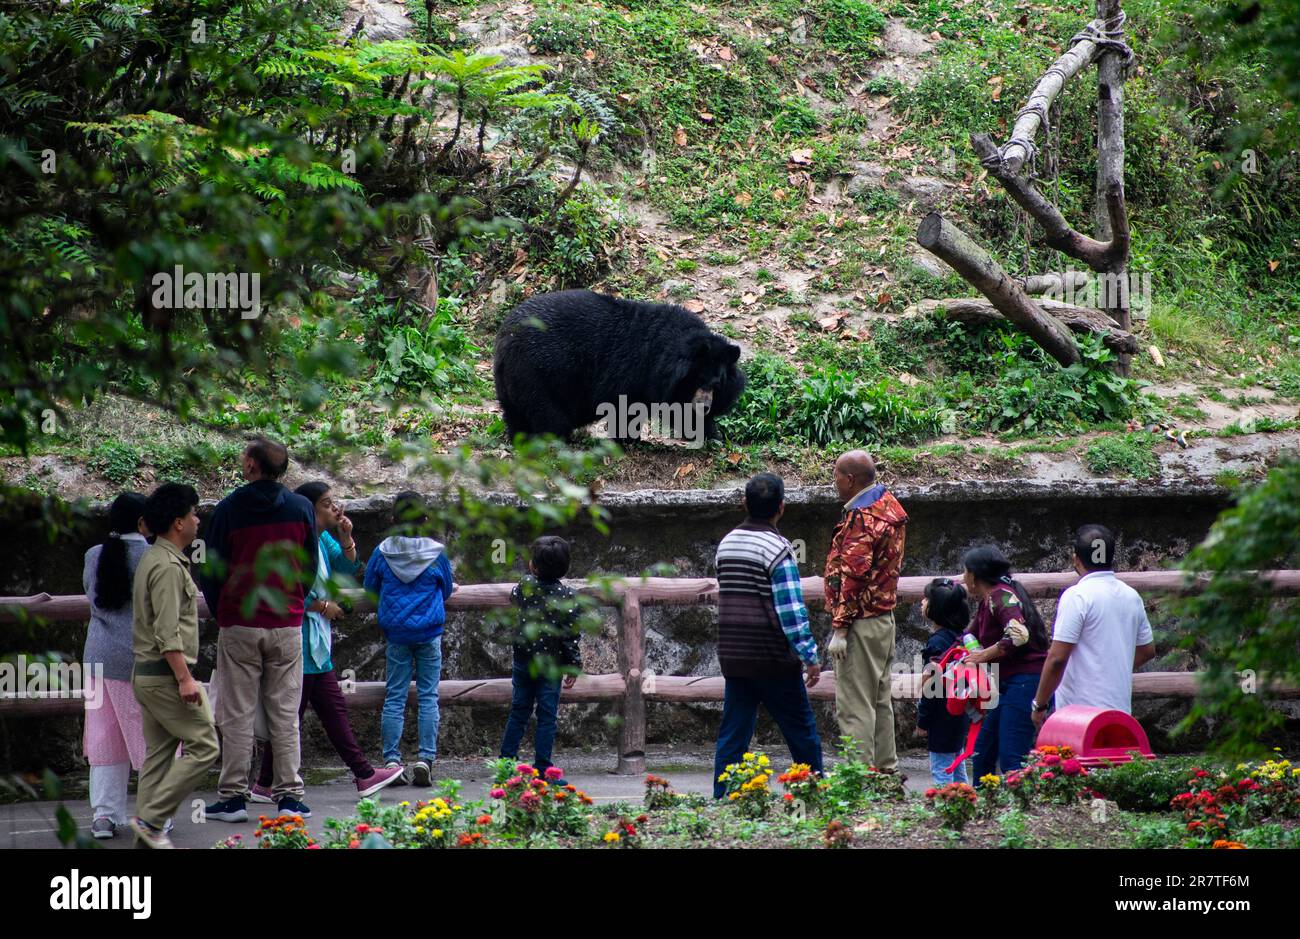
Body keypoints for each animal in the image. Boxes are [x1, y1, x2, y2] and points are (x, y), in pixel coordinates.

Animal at [493, 289, 745, 444]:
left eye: (717, 384)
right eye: (699, 380)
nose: (705, 406)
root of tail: (505, 337)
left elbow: (683, 411)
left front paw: (712, 436)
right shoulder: (635, 373)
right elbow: (626, 407)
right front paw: (629, 440)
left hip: (512, 381)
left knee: (515, 412)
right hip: (540, 373)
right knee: (549, 414)